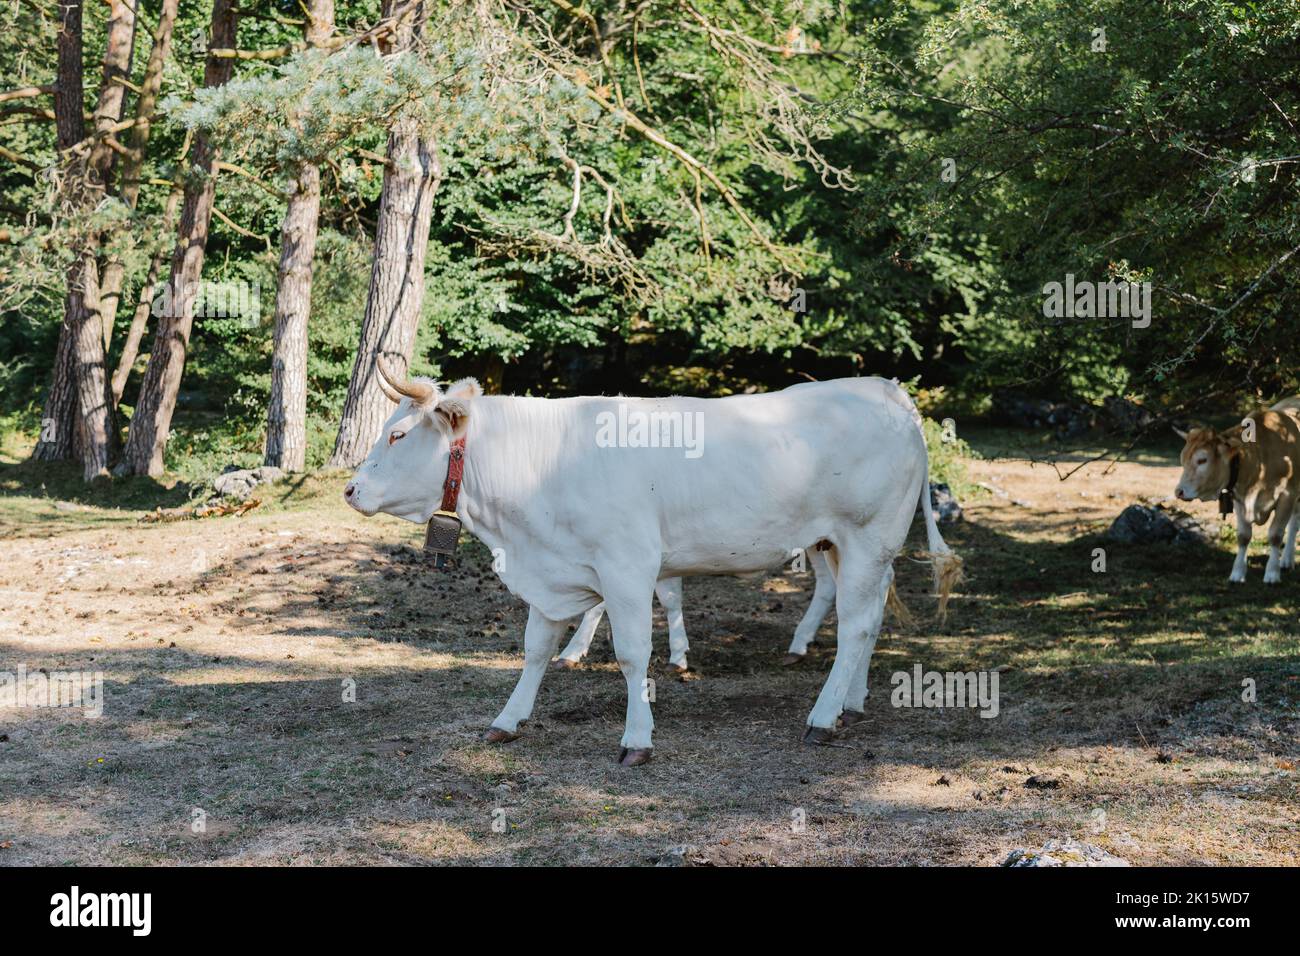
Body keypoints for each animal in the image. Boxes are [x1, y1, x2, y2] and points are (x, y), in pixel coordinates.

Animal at [344, 365, 961, 765]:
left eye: (398, 434)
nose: (351, 489)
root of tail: (885, 390)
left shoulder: (626, 567)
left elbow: (632, 653)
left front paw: (637, 739)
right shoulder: (557, 568)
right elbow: (536, 649)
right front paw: (507, 720)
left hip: (869, 536)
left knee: (856, 626)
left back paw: (822, 718)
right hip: (841, 545)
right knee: (870, 618)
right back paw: (851, 705)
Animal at [1175, 397, 1300, 583]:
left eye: (1202, 460)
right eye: (1182, 460)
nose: (1179, 492)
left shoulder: (1287, 495)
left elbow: (1276, 535)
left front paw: (1272, 573)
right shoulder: (1239, 499)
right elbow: (1243, 536)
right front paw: (1237, 573)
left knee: (1293, 525)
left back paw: (1285, 560)